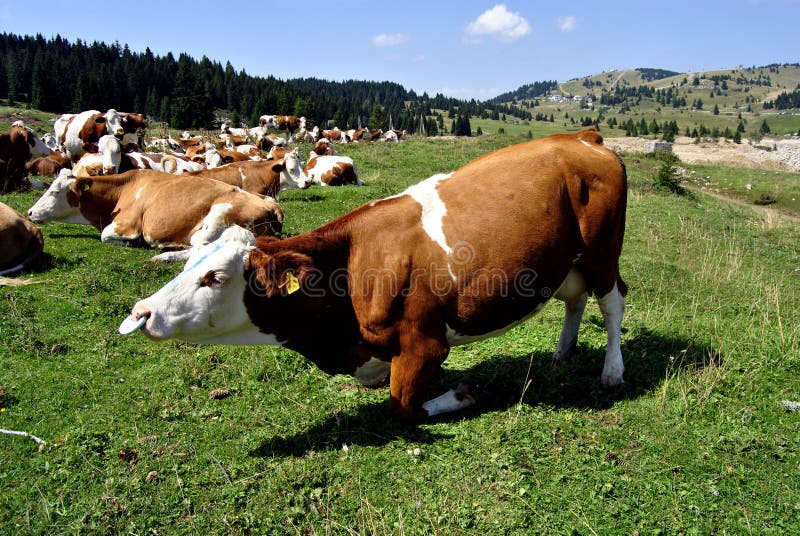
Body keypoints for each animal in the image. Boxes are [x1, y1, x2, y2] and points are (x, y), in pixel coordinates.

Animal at [28, 169, 284, 250]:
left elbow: (106, 236)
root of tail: (268, 204)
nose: (29, 212)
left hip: (213, 225)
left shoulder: (126, 225)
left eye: (54, 191)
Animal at [119, 129, 628, 422]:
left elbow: (402, 407)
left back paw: (612, 371)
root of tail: (582, 137)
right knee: (575, 299)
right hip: (567, 259)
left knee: (612, 301)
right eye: (190, 262)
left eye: (215, 278)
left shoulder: (425, 344)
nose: (141, 312)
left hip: (603, 250)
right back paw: (562, 352)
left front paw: (462, 394)